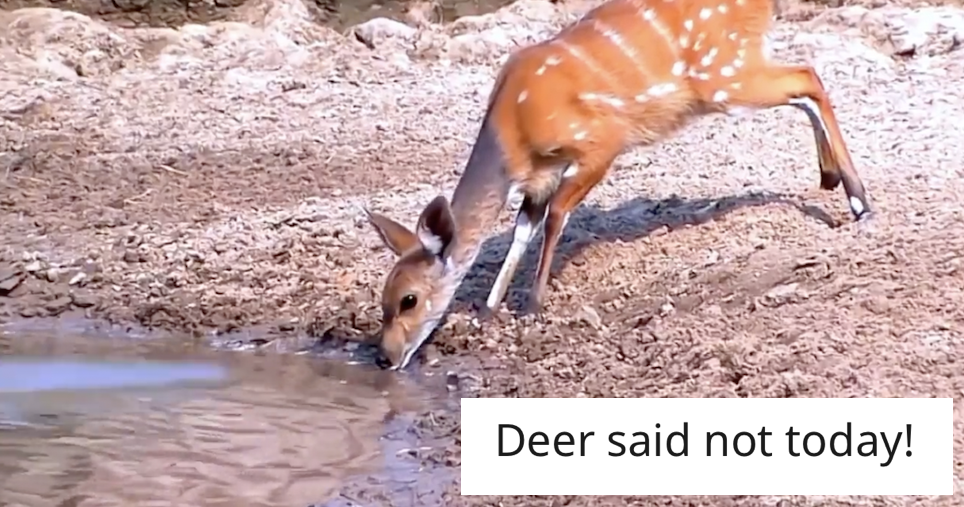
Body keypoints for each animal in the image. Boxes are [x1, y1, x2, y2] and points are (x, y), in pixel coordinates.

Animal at [362, 0, 874, 370]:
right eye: (382, 299)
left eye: (408, 299)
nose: (384, 359)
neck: (513, 132)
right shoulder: (539, 180)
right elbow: (522, 231)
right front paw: (490, 309)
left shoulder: (600, 142)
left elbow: (556, 217)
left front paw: (533, 304)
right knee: (802, 83)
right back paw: (831, 178)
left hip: (722, 76)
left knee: (806, 74)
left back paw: (859, 202)